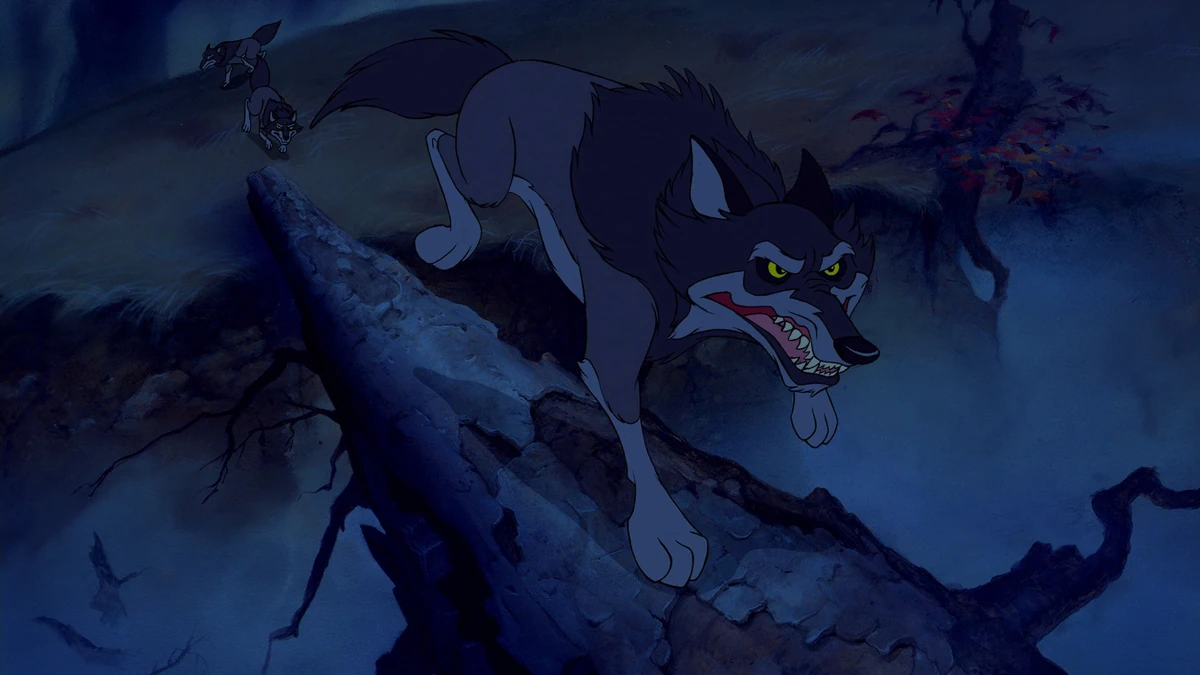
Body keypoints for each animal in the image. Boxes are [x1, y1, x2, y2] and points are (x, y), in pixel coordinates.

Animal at [310, 31, 879, 588]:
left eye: (839, 269)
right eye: (773, 271)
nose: (862, 349)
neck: (673, 249)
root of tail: (505, 64)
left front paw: (814, 408)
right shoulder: (614, 349)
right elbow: (634, 434)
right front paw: (662, 533)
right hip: (487, 175)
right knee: (439, 144)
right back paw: (455, 241)